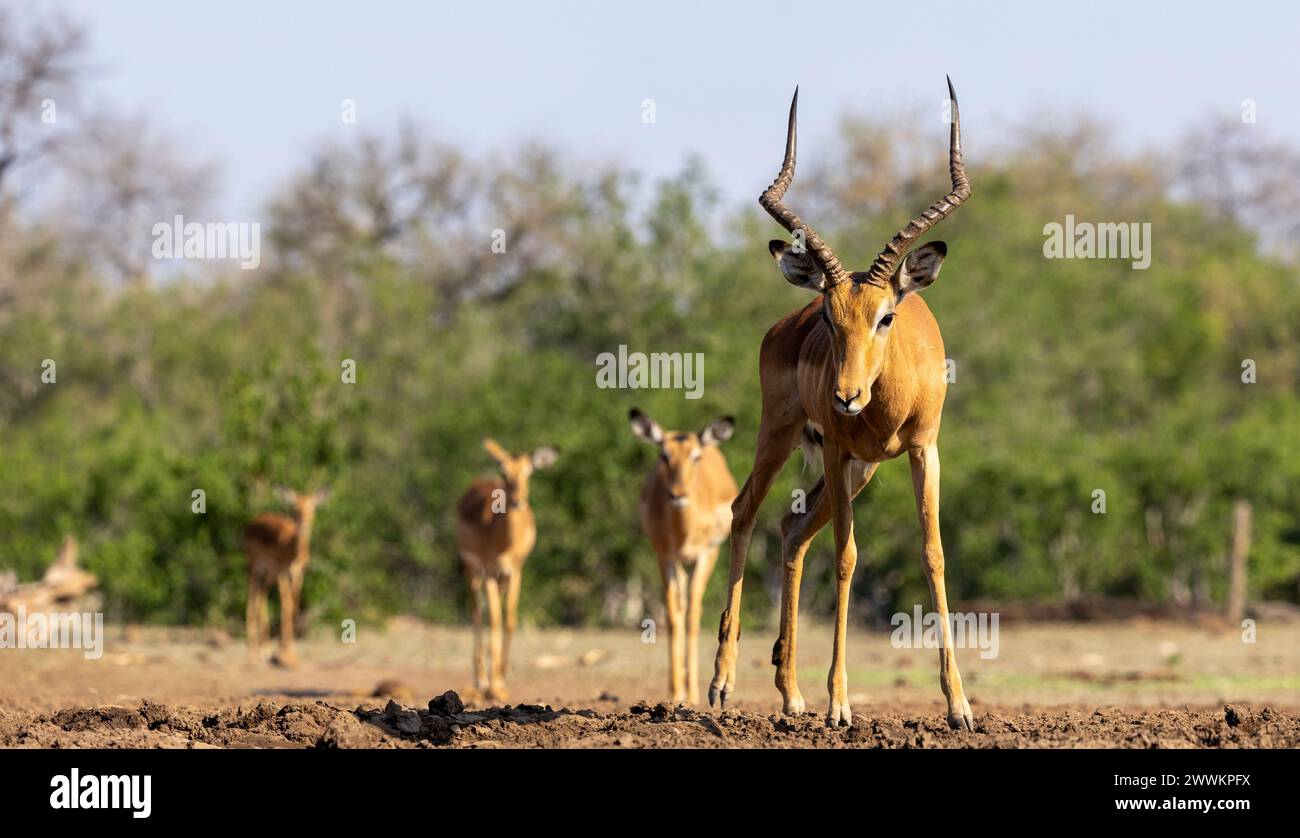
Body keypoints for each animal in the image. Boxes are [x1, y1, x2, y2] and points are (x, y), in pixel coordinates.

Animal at [244, 486, 330, 667]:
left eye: (313, 506)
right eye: (295, 507)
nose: (304, 522)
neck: (292, 548)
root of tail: (252, 522)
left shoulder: (298, 573)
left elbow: (294, 604)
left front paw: (288, 649)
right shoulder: (282, 572)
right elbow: (287, 605)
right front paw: (285, 649)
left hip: (268, 575)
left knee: (261, 597)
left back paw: (265, 649)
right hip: (255, 568)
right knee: (252, 598)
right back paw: (253, 651)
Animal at [456, 438, 558, 702]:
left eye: (529, 471)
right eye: (504, 471)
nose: (516, 501)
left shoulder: (516, 571)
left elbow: (510, 619)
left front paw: (501, 680)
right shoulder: (489, 571)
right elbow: (494, 619)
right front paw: (494, 685)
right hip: (472, 571)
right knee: (477, 614)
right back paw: (481, 679)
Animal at [629, 408, 738, 705]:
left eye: (695, 456)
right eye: (663, 455)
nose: (677, 494)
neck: (684, 531)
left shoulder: (706, 554)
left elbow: (693, 616)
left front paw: (692, 693)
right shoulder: (665, 556)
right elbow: (673, 615)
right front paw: (677, 691)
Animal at [710, 79, 975, 730]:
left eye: (886, 316)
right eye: (832, 318)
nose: (845, 395)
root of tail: (782, 321)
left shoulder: (923, 450)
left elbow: (933, 553)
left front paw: (959, 705)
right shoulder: (833, 446)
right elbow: (849, 556)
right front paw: (840, 704)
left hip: (859, 469)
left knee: (792, 528)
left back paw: (790, 693)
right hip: (784, 436)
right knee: (745, 512)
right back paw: (724, 685)